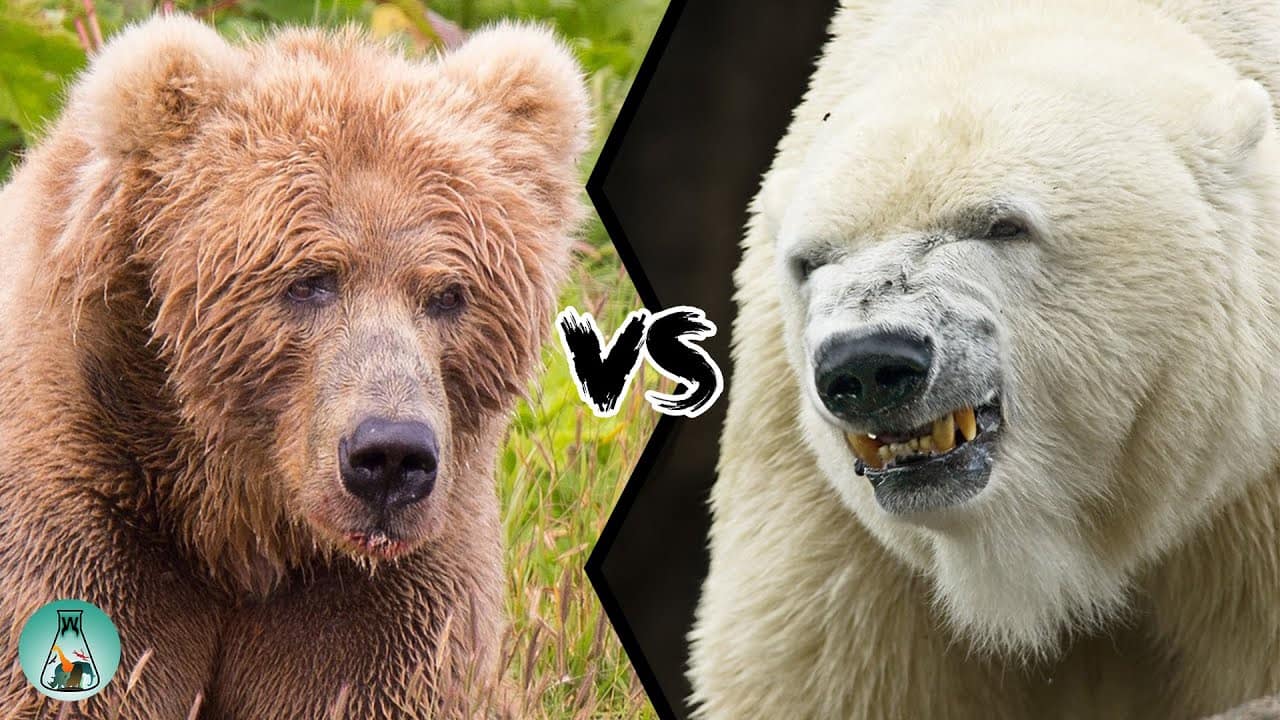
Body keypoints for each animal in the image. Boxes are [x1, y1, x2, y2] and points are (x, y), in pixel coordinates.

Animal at [0, 13, 587, 719]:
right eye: (309, 281)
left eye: (450, 294)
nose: (390, 455)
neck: (239, 526)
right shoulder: (86, 520)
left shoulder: (387, 597)